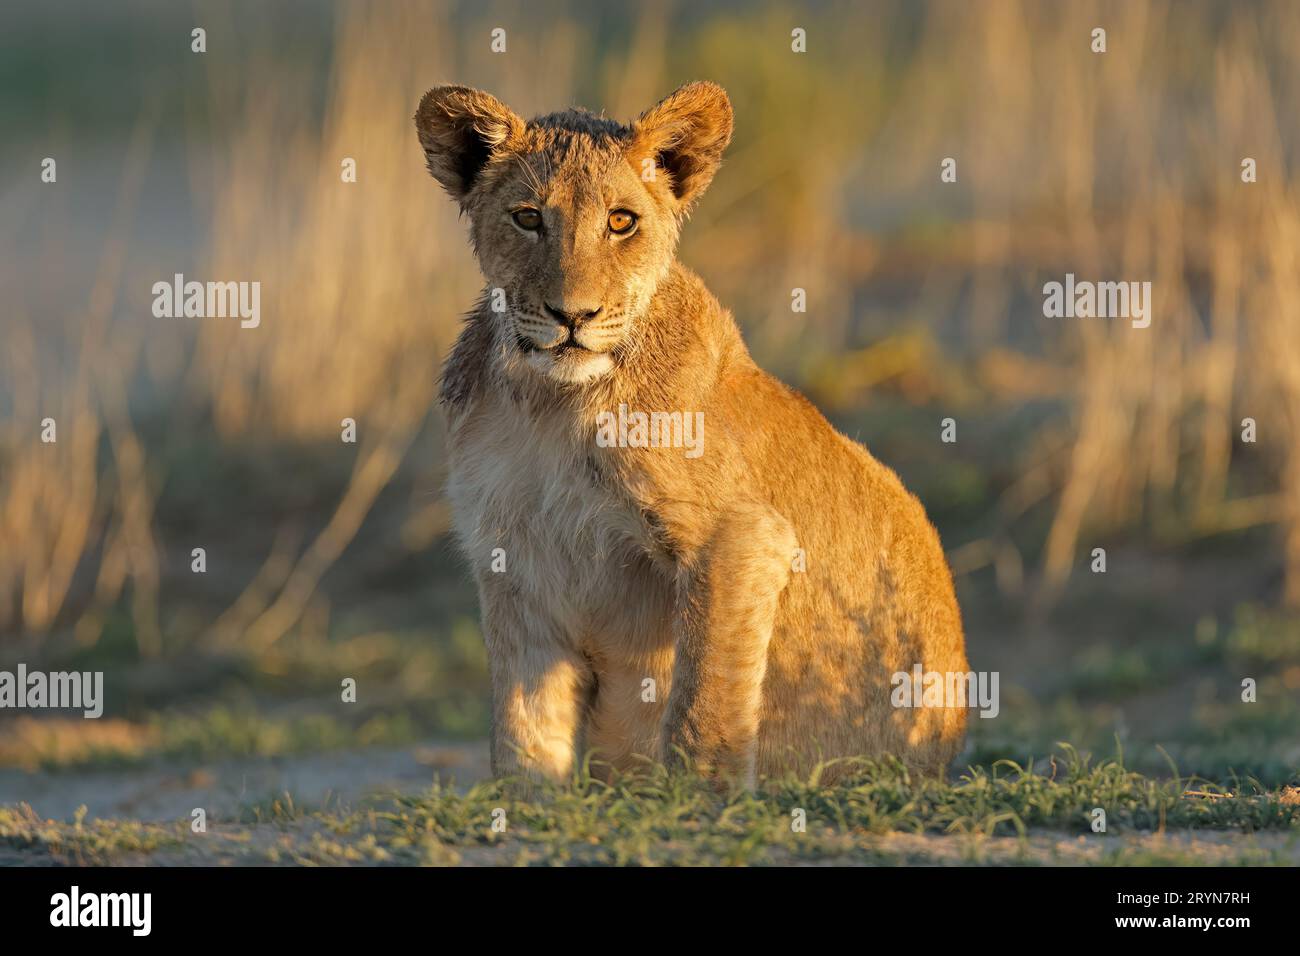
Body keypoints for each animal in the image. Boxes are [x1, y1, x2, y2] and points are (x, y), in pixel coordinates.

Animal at [415, 81, 969, 786]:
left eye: (621, 222)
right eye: (528, 218)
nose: (573, 315)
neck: (547, 403)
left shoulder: (740, 538)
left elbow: (703, 695)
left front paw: (699, 795)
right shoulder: (514, 559)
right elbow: (524, 723)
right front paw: (525, 799)